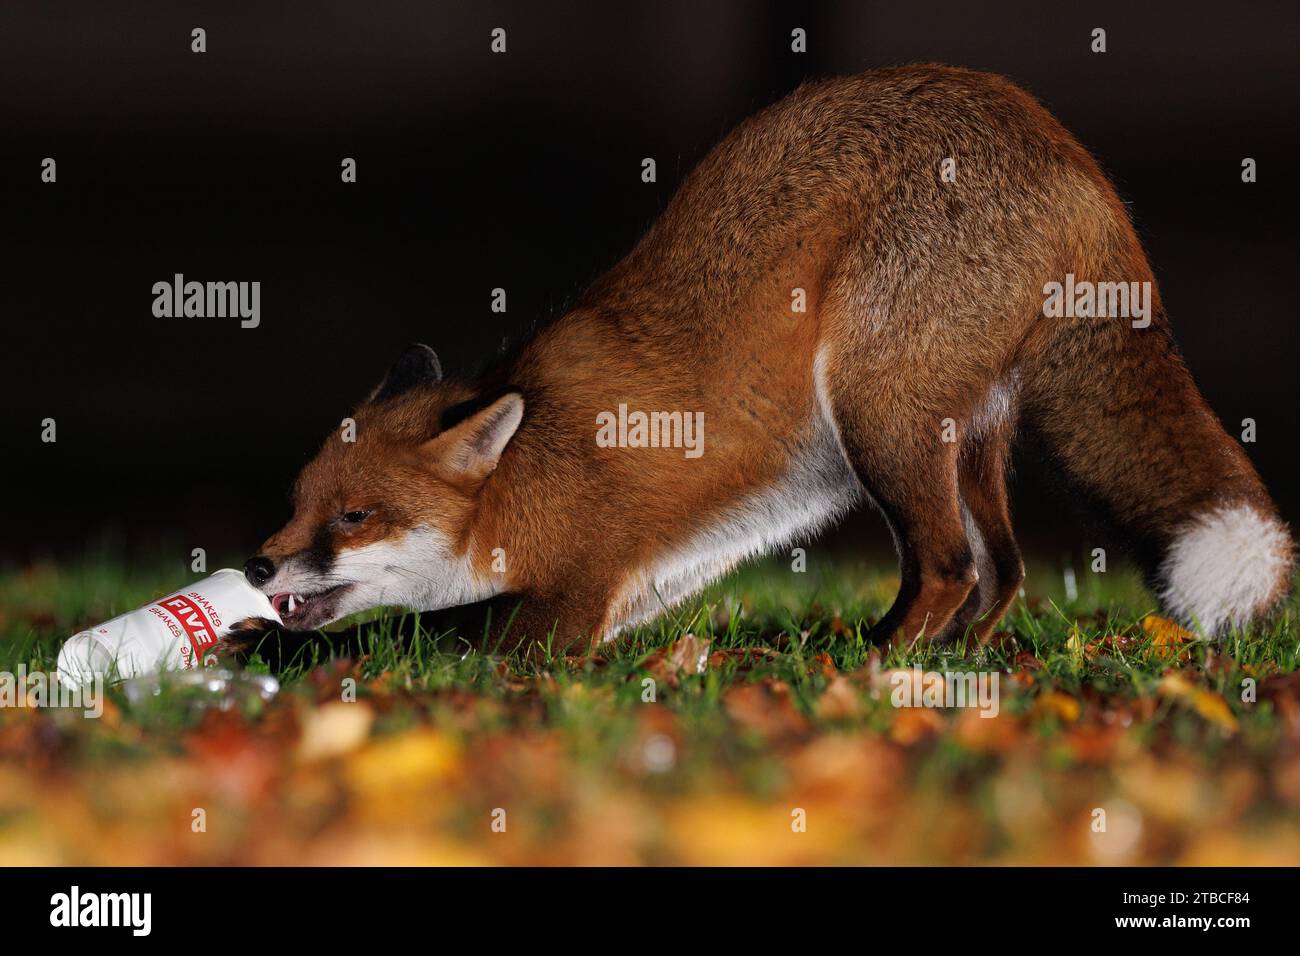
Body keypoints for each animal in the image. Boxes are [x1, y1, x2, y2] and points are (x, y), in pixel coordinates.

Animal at [245, 64, 1292, 652]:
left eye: (353, 515)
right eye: (295, 500)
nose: (255, 567)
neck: (532, 474)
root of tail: (1069, 151)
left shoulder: (576, 597)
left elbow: (421, 640)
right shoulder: (646, 584)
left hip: (880, 414)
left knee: (951, 567)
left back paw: (868, 665)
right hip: (968, 431)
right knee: (1004, 571)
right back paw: (953, 663)